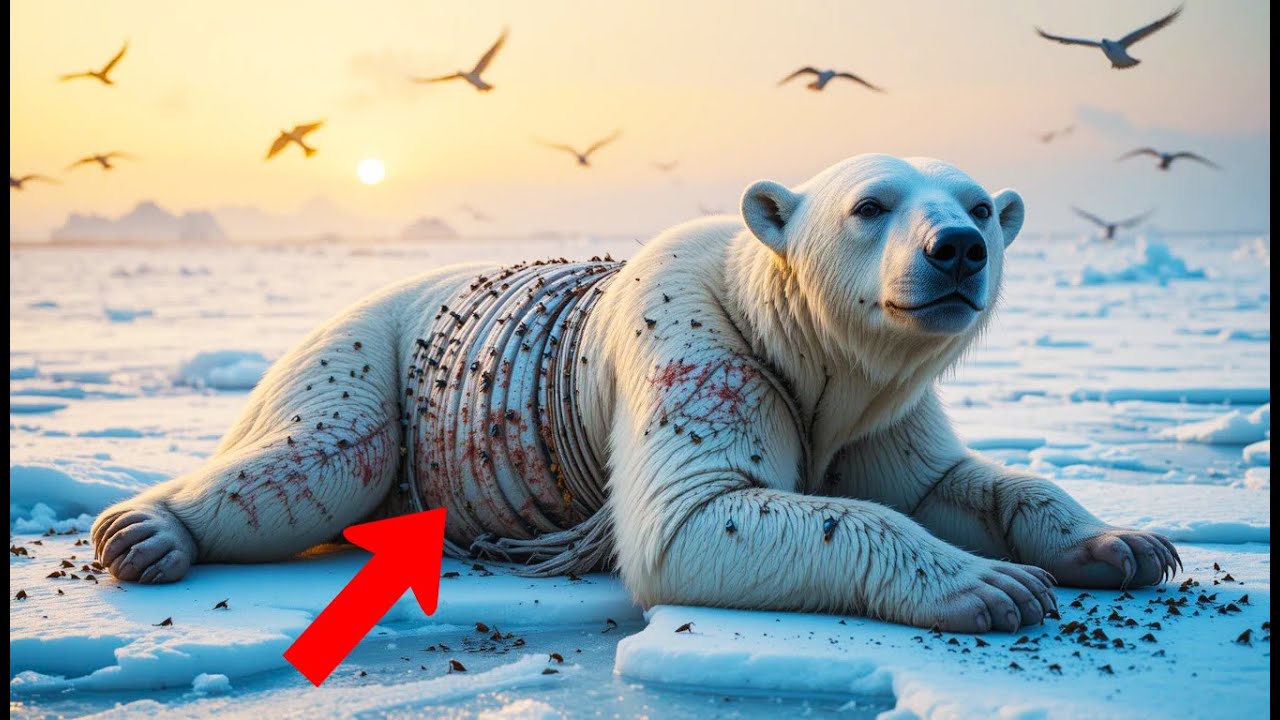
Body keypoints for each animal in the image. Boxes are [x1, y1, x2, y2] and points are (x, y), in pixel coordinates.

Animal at [91, 154, 1179, 633]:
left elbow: (947, 482)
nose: (954, 249)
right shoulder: (699, 346)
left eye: (979, 207)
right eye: (870, 205)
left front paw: (1125, 543)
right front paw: (990, 585)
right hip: (367, 356)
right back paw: (145, 533)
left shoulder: (884, 407)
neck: (789, 330)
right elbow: (694, 518)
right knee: (313, 462)